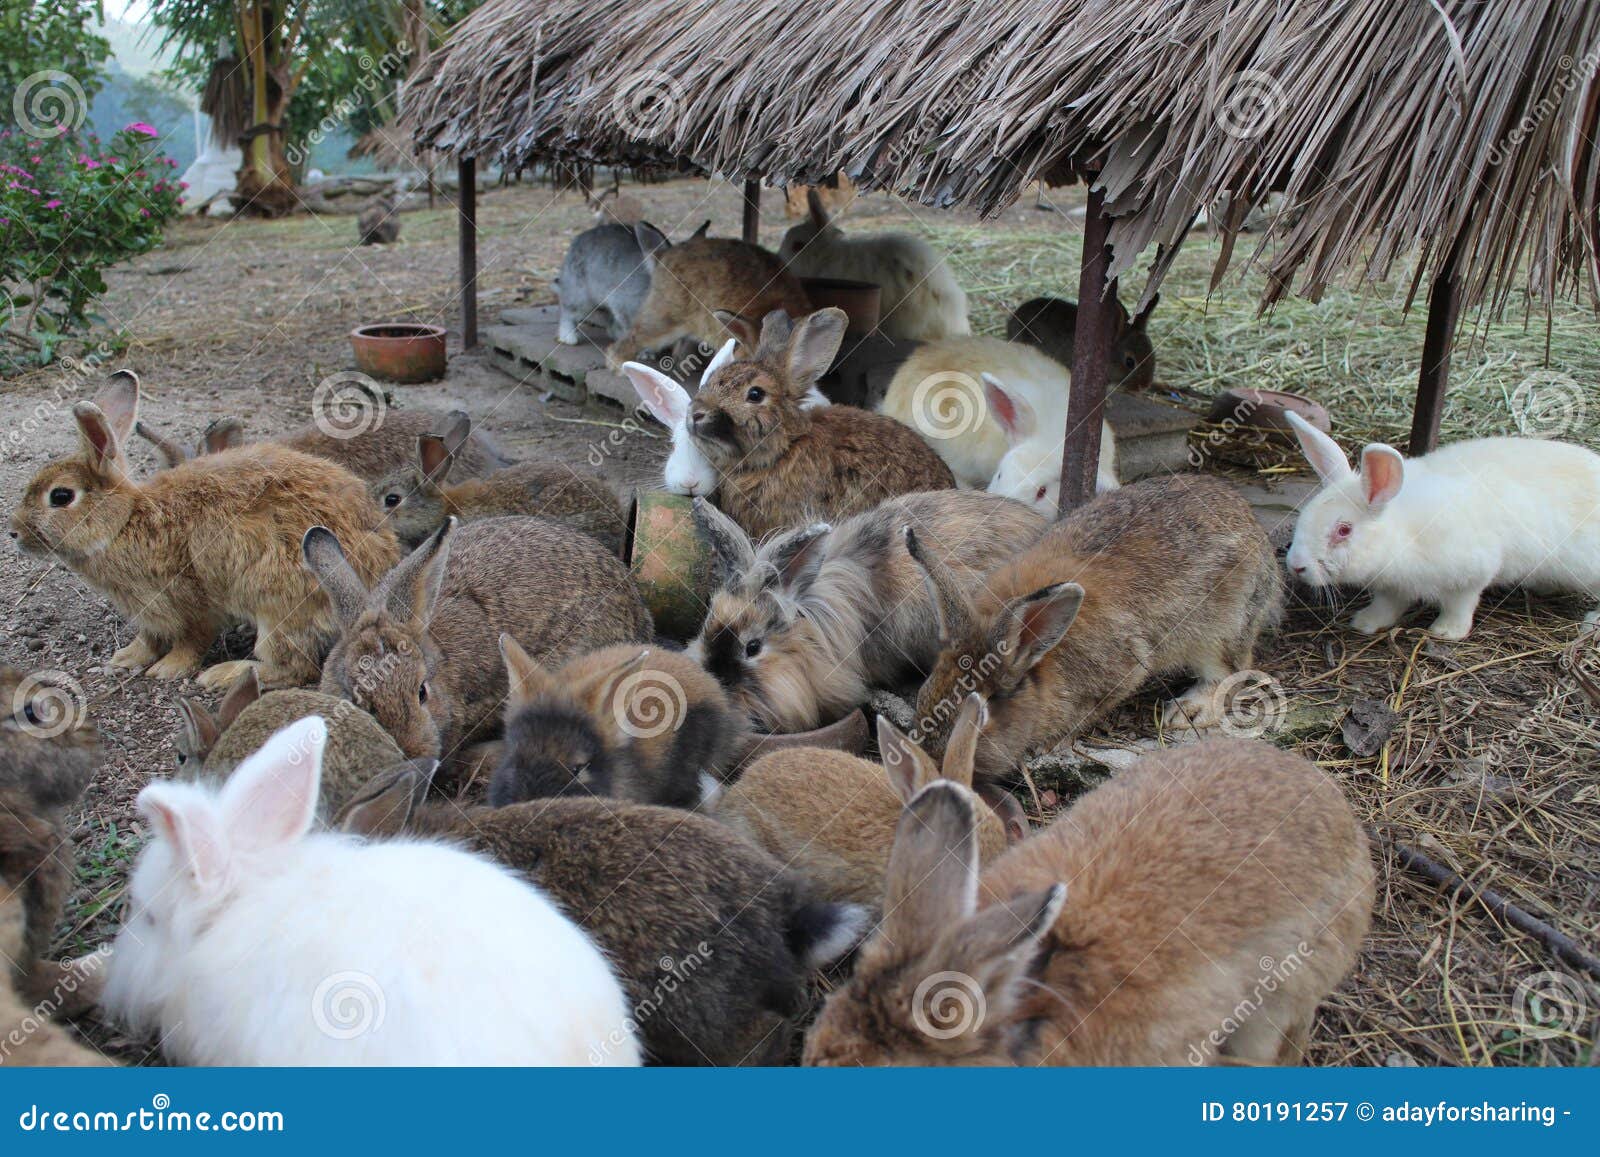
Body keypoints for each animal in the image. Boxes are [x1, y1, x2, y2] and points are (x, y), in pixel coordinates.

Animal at [8, 372, 400, 690]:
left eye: (60, 496)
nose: (13, 533)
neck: (123, 522)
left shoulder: (186, 600)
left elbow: (191, 639)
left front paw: (167, 670)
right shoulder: (147, 613)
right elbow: (147, 639)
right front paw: (126, 659)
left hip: (278, 603)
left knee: (293, 667)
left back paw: (224, 674)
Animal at [909, 473, 1283, 783]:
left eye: (981, 715)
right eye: (925, 691)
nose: (935, 758)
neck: (1038, 660)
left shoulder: (1125, 669)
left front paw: (1052, 743)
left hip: (1222, 631)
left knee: (1230, 672)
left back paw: (1187, 709)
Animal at [1283, 412, 1600, 639]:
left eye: (1344, 530)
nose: (1296, 566)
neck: (1402, 532)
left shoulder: (1472, 574)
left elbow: (1460, 605)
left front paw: (1446, 632)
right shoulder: (1393, 587)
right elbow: (1388, 605)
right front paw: (1365, 623)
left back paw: (1591, 623)